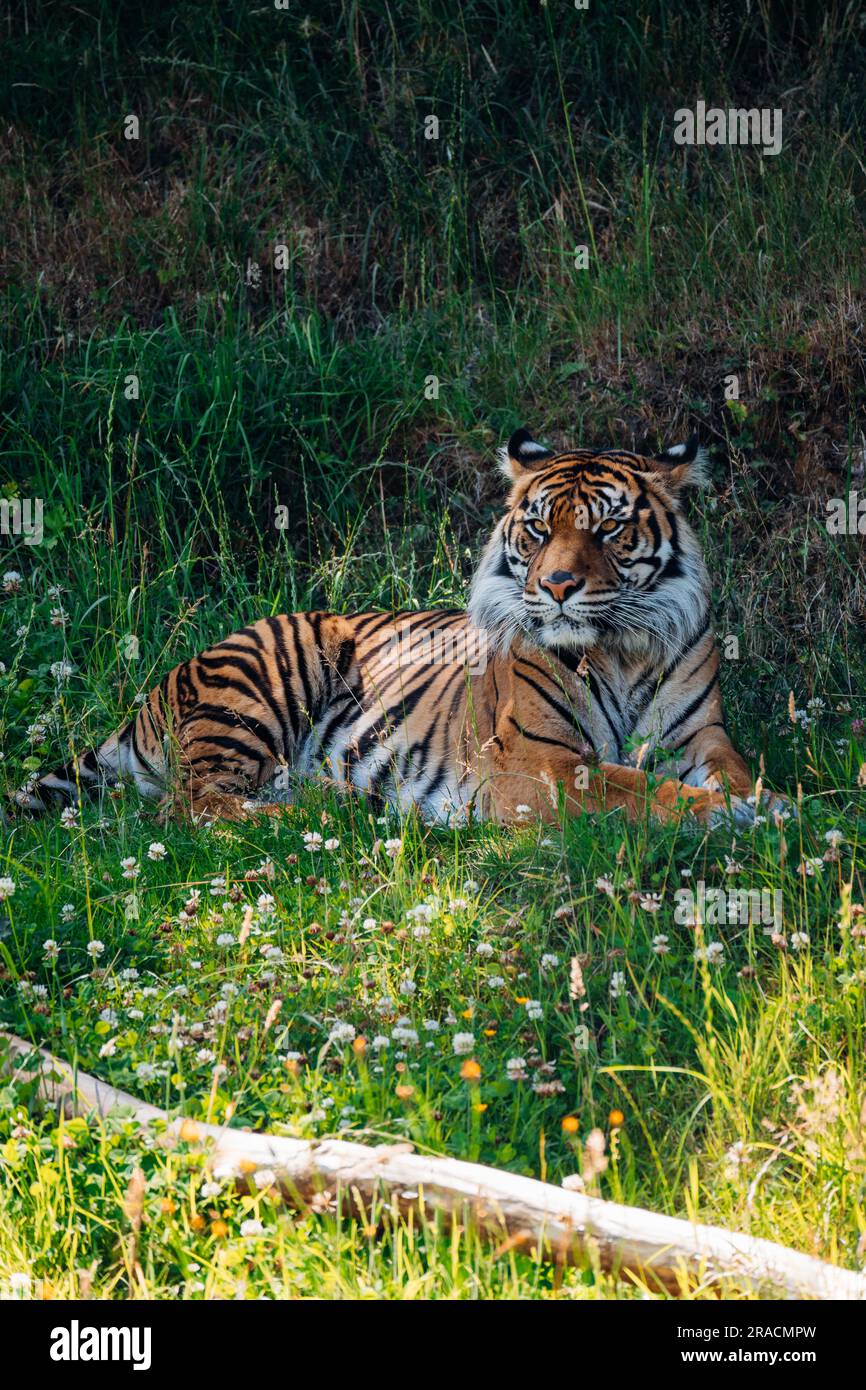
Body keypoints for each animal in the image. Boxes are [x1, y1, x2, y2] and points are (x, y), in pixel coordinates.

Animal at [14, 428, 770, 828]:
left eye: (608, 528)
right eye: (537, 527)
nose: (556, 587)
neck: (618, 649)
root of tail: (151, 694)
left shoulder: (701, 736)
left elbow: (739, 772)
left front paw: (764, 804)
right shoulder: (536, 760)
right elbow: (629, 786)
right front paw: (727, 815)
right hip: (266, 678)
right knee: (192, 804)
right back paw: (321, 816)